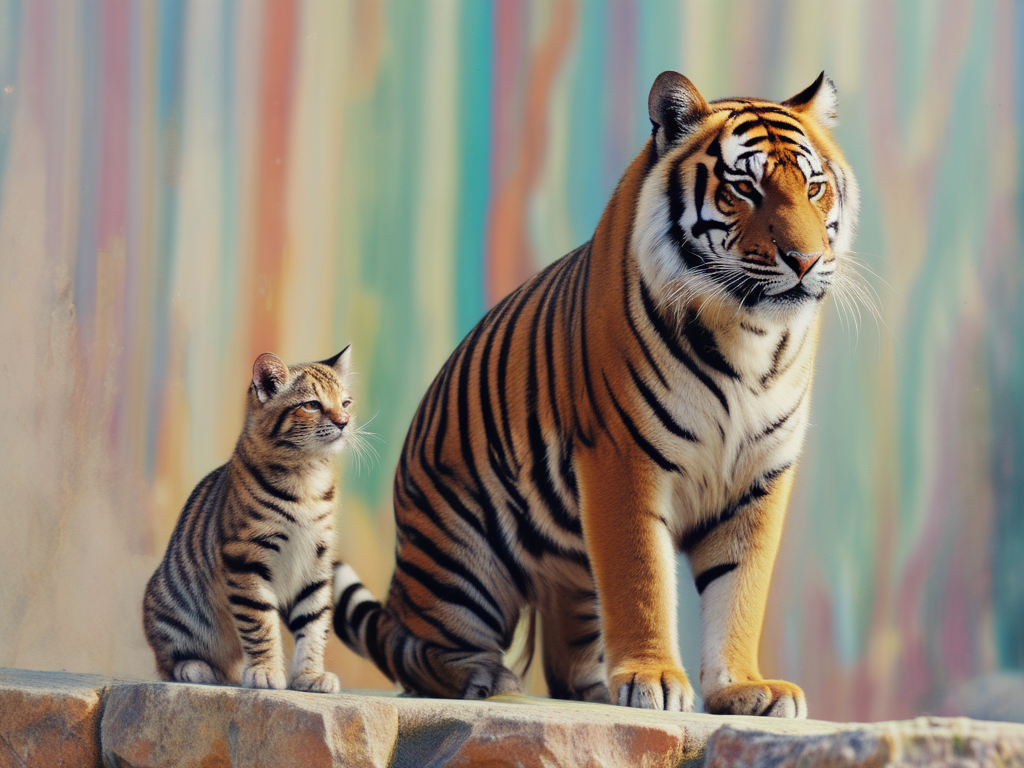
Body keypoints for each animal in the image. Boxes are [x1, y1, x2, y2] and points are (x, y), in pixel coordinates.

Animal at [143, 346, 358, 693]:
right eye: (312, 405)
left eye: (346, 402)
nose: (344, 422)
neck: (307, 477)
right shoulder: (246, 558)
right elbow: (260, 623)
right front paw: (266, 670)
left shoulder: (317, 564)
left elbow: (313, 624)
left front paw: (310, 675)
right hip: (173, 605)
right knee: (168, 662)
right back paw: (197, 668)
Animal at [334, 71, 859, 717]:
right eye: (744, 188)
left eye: (814, 188)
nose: (806, 260)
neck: (749, 337)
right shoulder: (623, 458)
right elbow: (641, 580)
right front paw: (654, 679)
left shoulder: (760, 476)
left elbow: (741, 590)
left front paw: (743, 688)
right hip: (462, 563)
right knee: (416, 654)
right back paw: (484, 677)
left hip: (572, 570)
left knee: (562, 660)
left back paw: (592, 690)